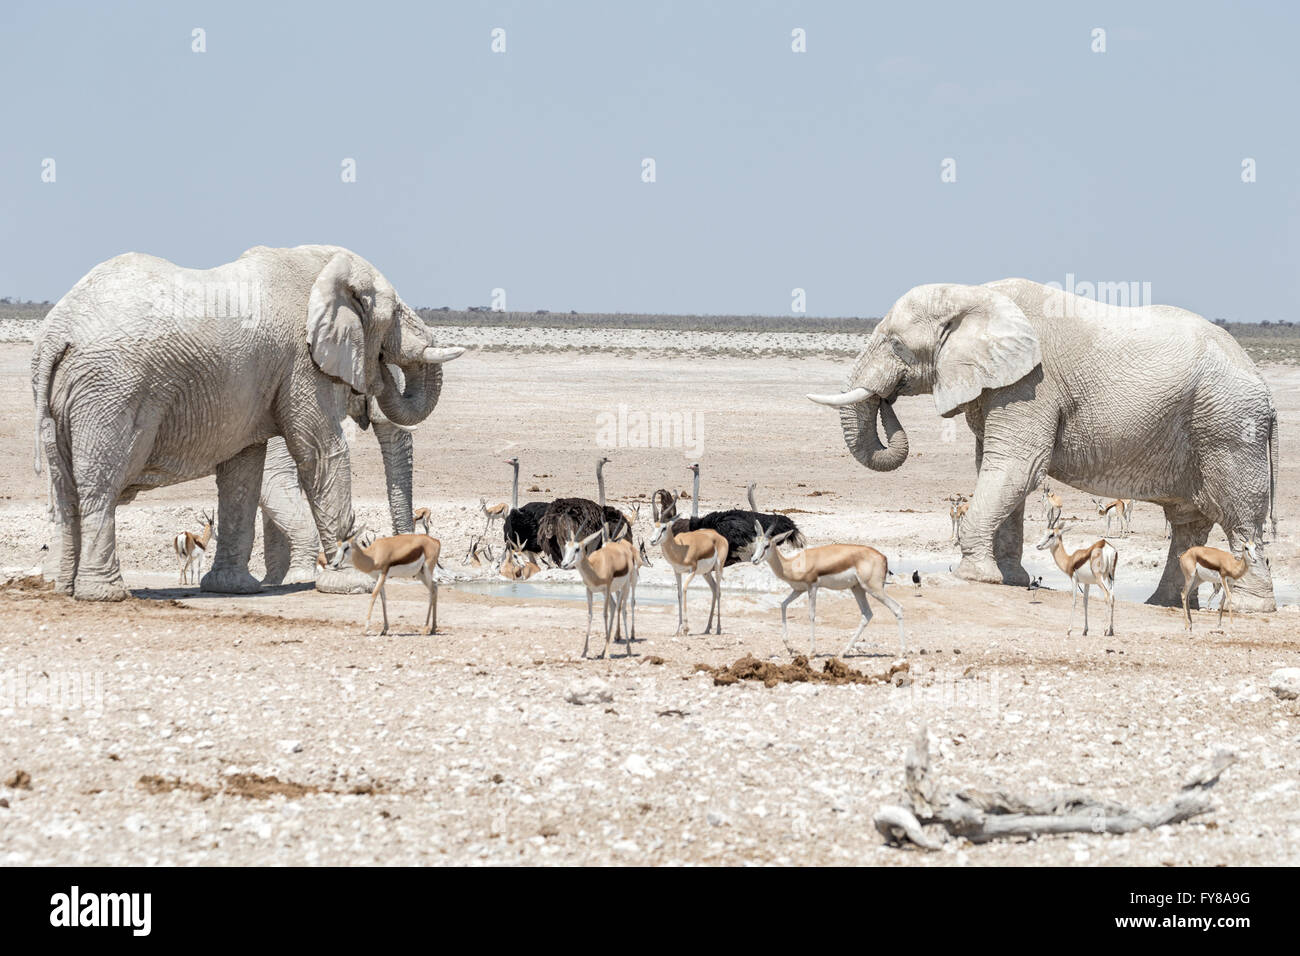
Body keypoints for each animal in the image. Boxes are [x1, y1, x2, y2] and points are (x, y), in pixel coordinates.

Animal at [32, 244, 462, 601]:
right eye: (394, 314)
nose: (381, 372)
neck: (318, 263)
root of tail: (56, 333)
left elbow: (243, 473)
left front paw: (234, 588)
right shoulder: (300, 363)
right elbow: (322, 452)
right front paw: (349, 584)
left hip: (60, 397)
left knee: (66, 489)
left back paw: (65, 589)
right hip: (110, 391)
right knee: (100, 485)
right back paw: (106, 594)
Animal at [808, 278, 1278, 611]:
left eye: (897, 345)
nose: (888, 398)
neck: (977, 294)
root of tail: (1265, 388)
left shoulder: (1032, 384)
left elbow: (1016, 467)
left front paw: (973, 576)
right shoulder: (1001, 386)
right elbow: (997, 470)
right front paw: (1009, 578)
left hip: (1230, 428)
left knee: (1240, 518)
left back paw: (1252, 608)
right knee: (1188, 520)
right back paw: (1163, 604)